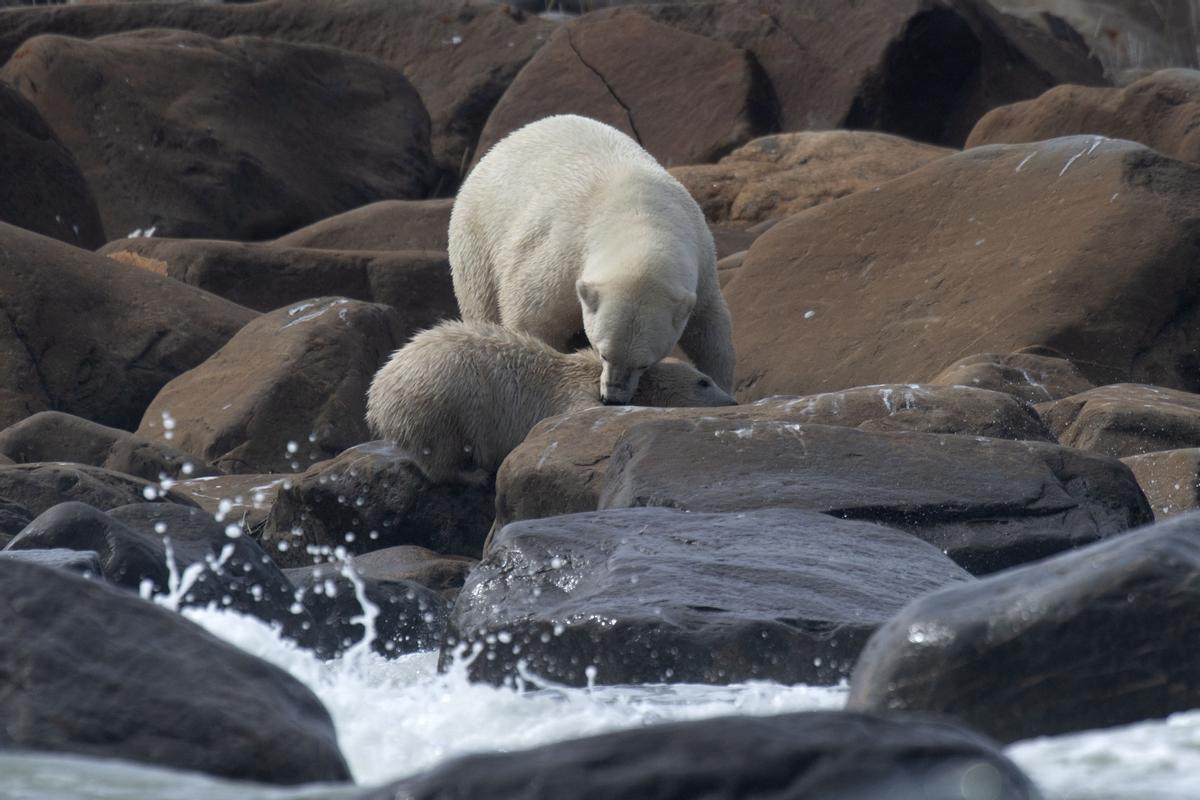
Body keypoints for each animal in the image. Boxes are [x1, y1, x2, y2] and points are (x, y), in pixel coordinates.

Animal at [364, 319, 735, 485]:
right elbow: (581, 413)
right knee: (440, 449)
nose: (731, 400)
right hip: (441, 392)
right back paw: (473, 474)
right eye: (704, 381)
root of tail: (377, 393)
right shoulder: (574, 393)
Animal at [448, 114, 735, 405]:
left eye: (644, 364)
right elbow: (533, 317)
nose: (613, 398)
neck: (639, 214)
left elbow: (708, 326)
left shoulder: (701, 261)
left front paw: (718, 384)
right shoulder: (560, 256)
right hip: (477, 237)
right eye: (603, 353)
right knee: (481, 300)